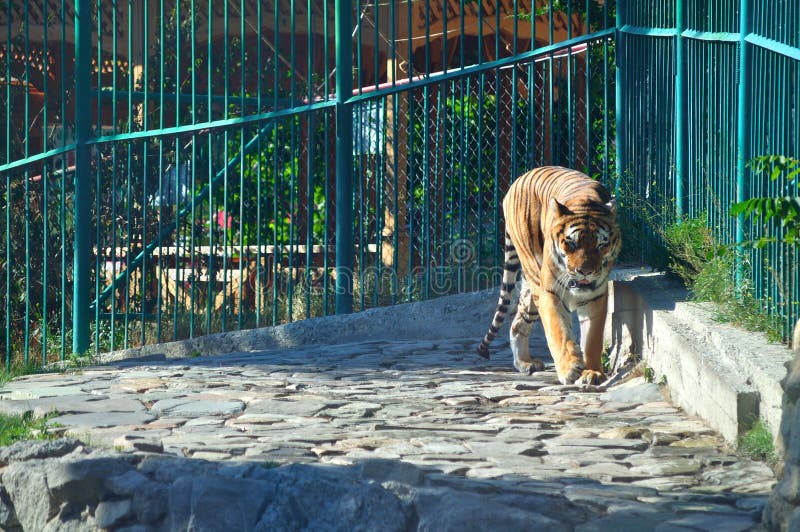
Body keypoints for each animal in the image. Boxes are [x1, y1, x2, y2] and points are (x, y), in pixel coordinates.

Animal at [476, 166, 621, 385]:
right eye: (571, 243)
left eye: (600, 245)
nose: (585, 272)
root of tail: (518, 179)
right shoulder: (550, 292)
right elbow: (558, 330)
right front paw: (570, 369)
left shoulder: (595, 296)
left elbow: (593, 338)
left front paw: (592, 373)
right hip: (534, 276)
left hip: (530, 293)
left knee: (518, 321)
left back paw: (525, 363)